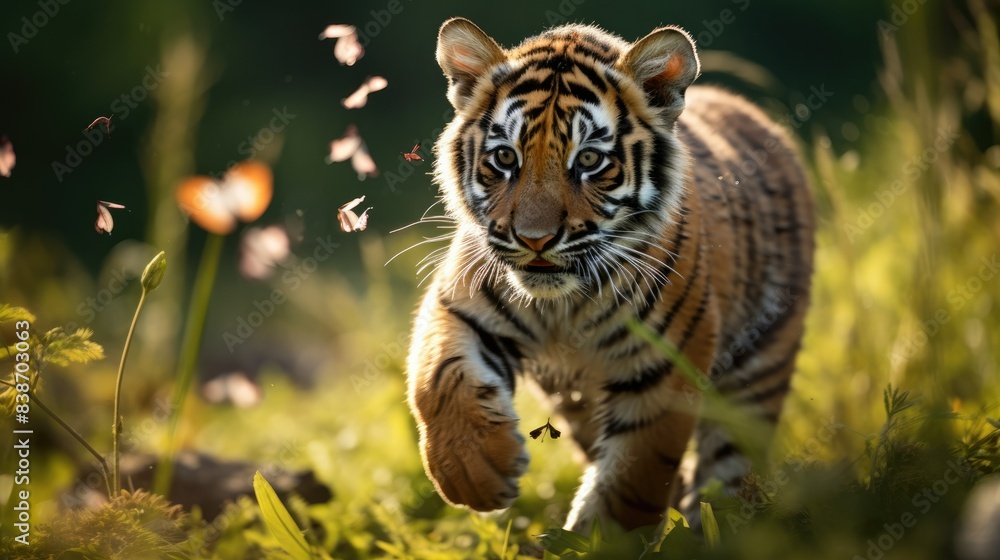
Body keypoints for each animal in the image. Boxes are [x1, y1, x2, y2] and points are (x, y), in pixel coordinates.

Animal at [406, 17, 815, 533]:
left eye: (588, 160)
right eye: (505, 158)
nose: (535, 240)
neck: (562, 307)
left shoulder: (665, 366)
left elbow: (633, 480)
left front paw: (600, 537)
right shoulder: (460, 304)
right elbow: (438, 378)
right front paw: (472, 474)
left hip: (758, 374)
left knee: (730, 476)